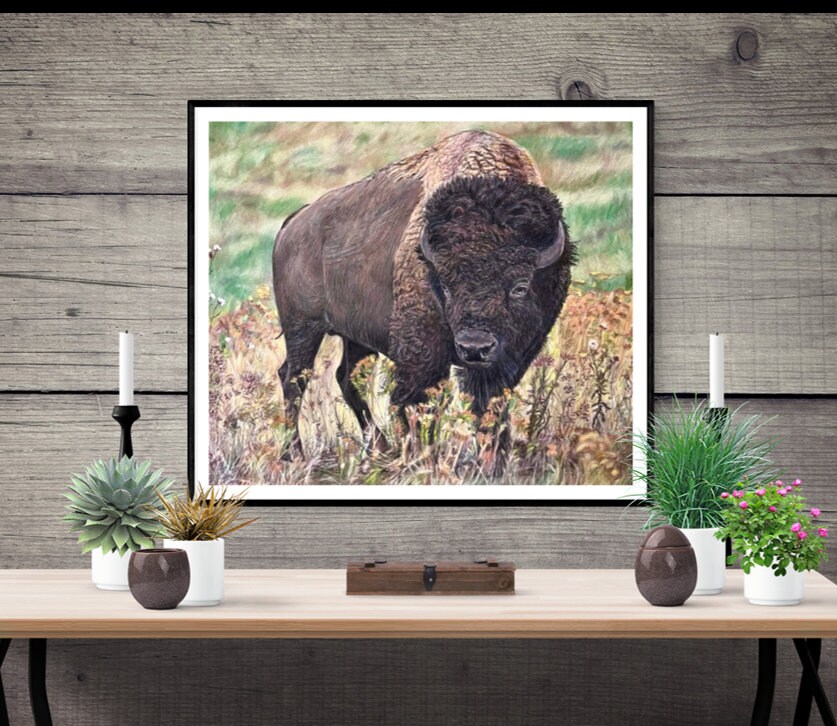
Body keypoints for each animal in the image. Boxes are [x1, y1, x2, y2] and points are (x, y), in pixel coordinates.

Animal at [273, 130, 575, 432]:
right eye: (445, 286)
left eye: (520, 287)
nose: (474, 348)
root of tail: (293, 223)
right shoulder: (420, 359)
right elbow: (416, 403)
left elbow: (488, 407)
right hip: (303, 327)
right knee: (294, 378)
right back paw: (294, 445)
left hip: (355, 337)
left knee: (345, 377)